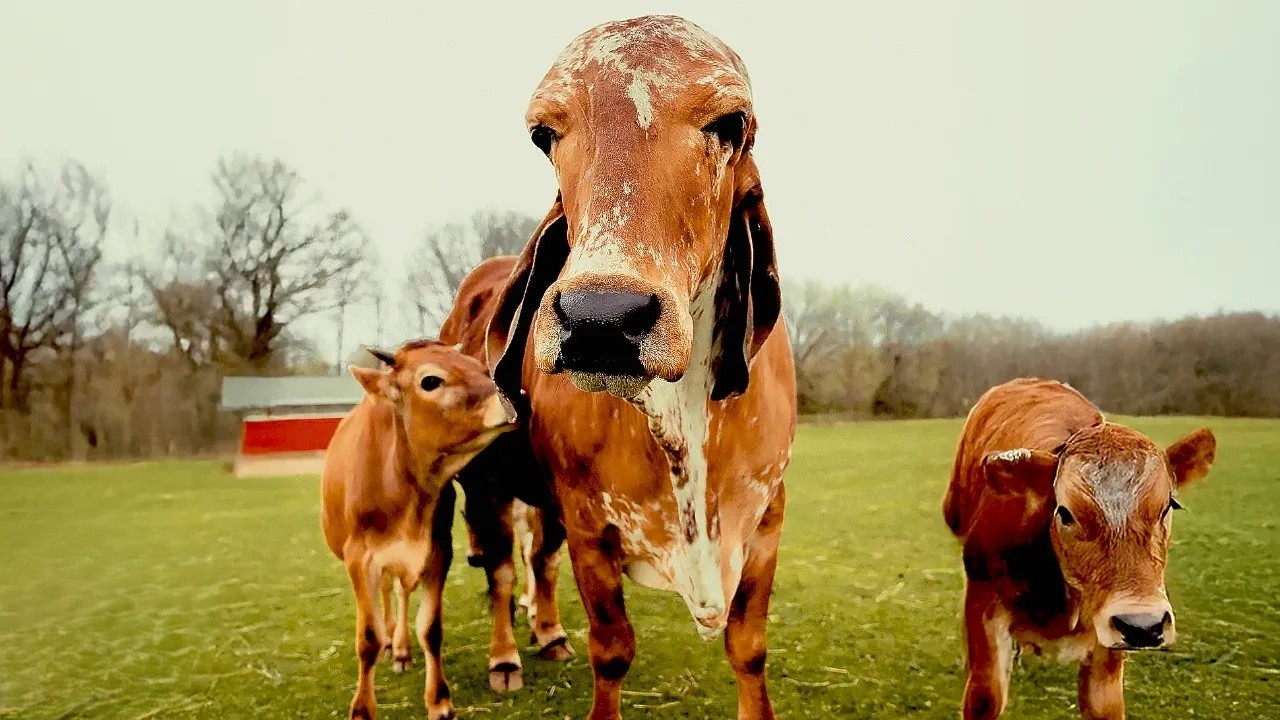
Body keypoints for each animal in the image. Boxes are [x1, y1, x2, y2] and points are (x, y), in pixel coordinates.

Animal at [321, 338, 518, 720]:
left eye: (479, 366)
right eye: (430, 381)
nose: (511, 399)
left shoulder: (438, 550)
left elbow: (430, 628)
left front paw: (439, 701)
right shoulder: (359, 557)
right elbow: (368, 637)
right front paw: (362, 708)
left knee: (399, 591)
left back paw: (400, 649)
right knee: (386, 594)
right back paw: (391, 645)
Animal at [471, 14, 798, 720]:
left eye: (730, 122)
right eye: (543, 134)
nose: (602, 318)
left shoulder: (768, 515)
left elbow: (749, 648)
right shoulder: (589, 522)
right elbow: (613, 649)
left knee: (537, 560)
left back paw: (548, 633)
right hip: (488, 484)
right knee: (505, 569)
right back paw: (508, 656)